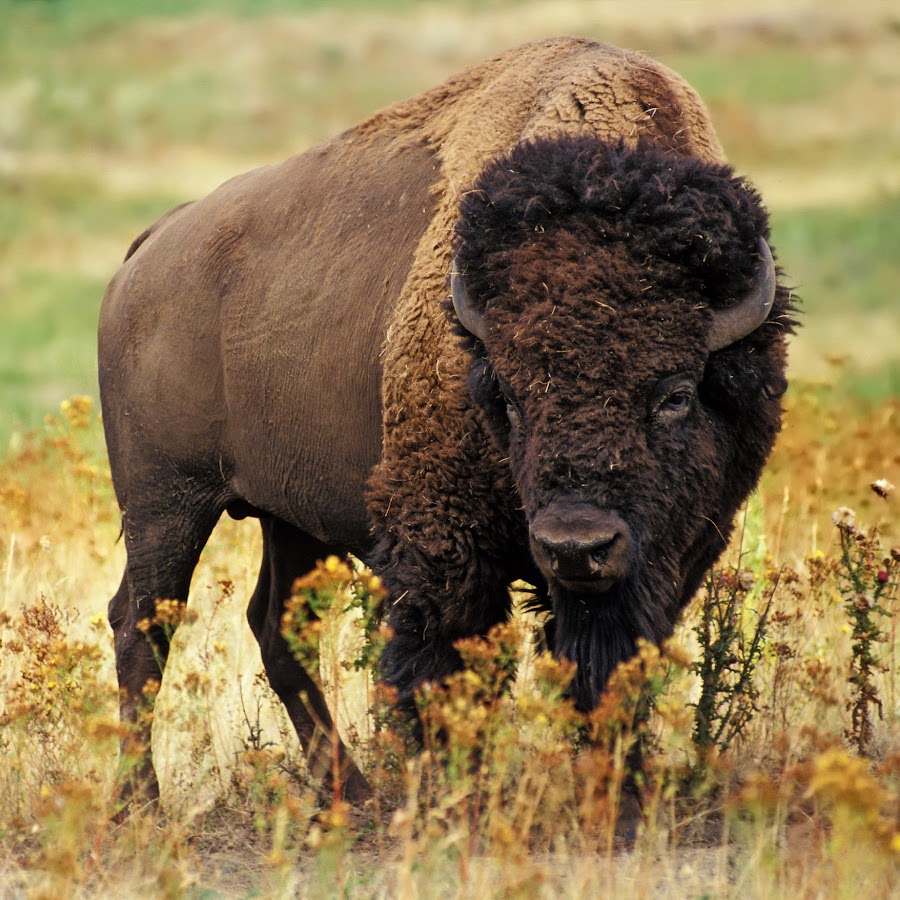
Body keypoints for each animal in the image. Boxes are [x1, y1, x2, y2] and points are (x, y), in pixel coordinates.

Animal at [99, 37, 794, 806]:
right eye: (509, 397)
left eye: (675, 393)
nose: (576, 545)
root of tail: (152, 246)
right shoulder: (443, 545)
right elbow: (444, 671)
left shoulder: (670, 556)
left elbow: (610, 670)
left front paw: (619, 794)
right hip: (167, 502)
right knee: (141, 625)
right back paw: (141, 803)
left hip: (287, 515)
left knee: (274, 626)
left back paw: (351, 795)